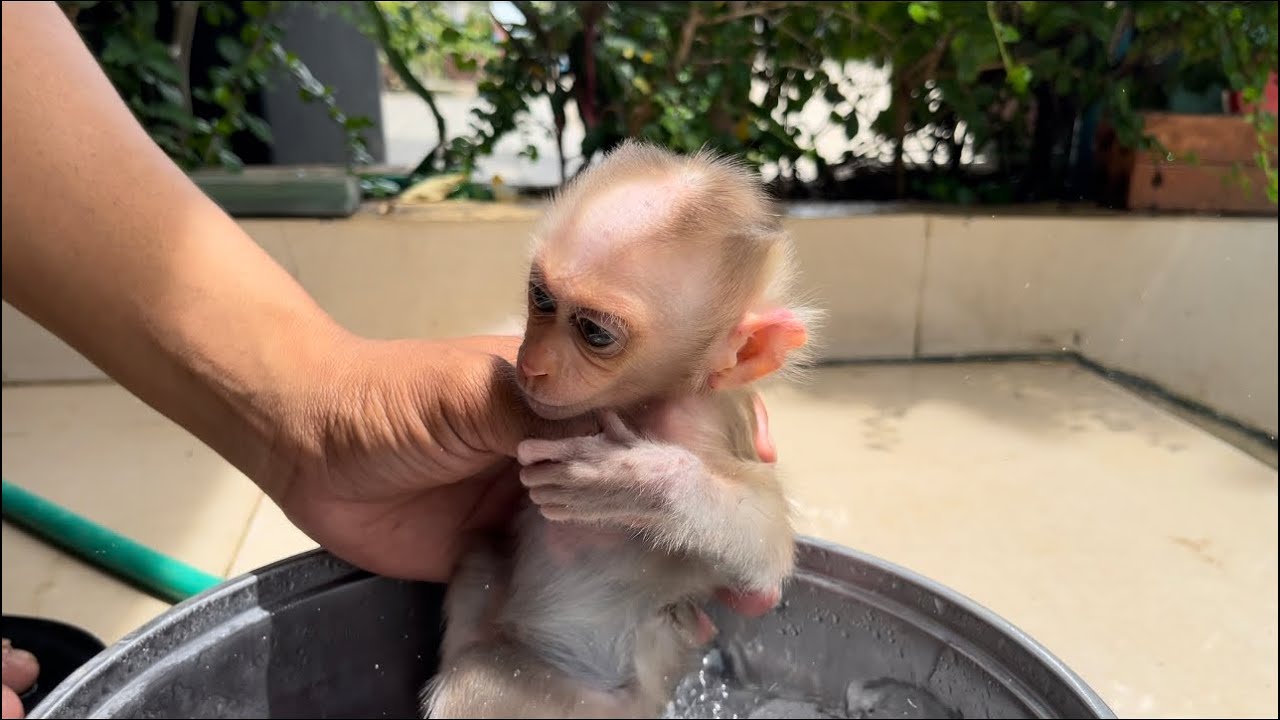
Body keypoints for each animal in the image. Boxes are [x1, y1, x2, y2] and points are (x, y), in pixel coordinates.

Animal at [420, 140, 818, 719]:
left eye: (594, 333)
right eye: (541, 298)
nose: (532, 364)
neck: (644, 403)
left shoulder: (700, 424)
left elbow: (763, 558)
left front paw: (633, 481)